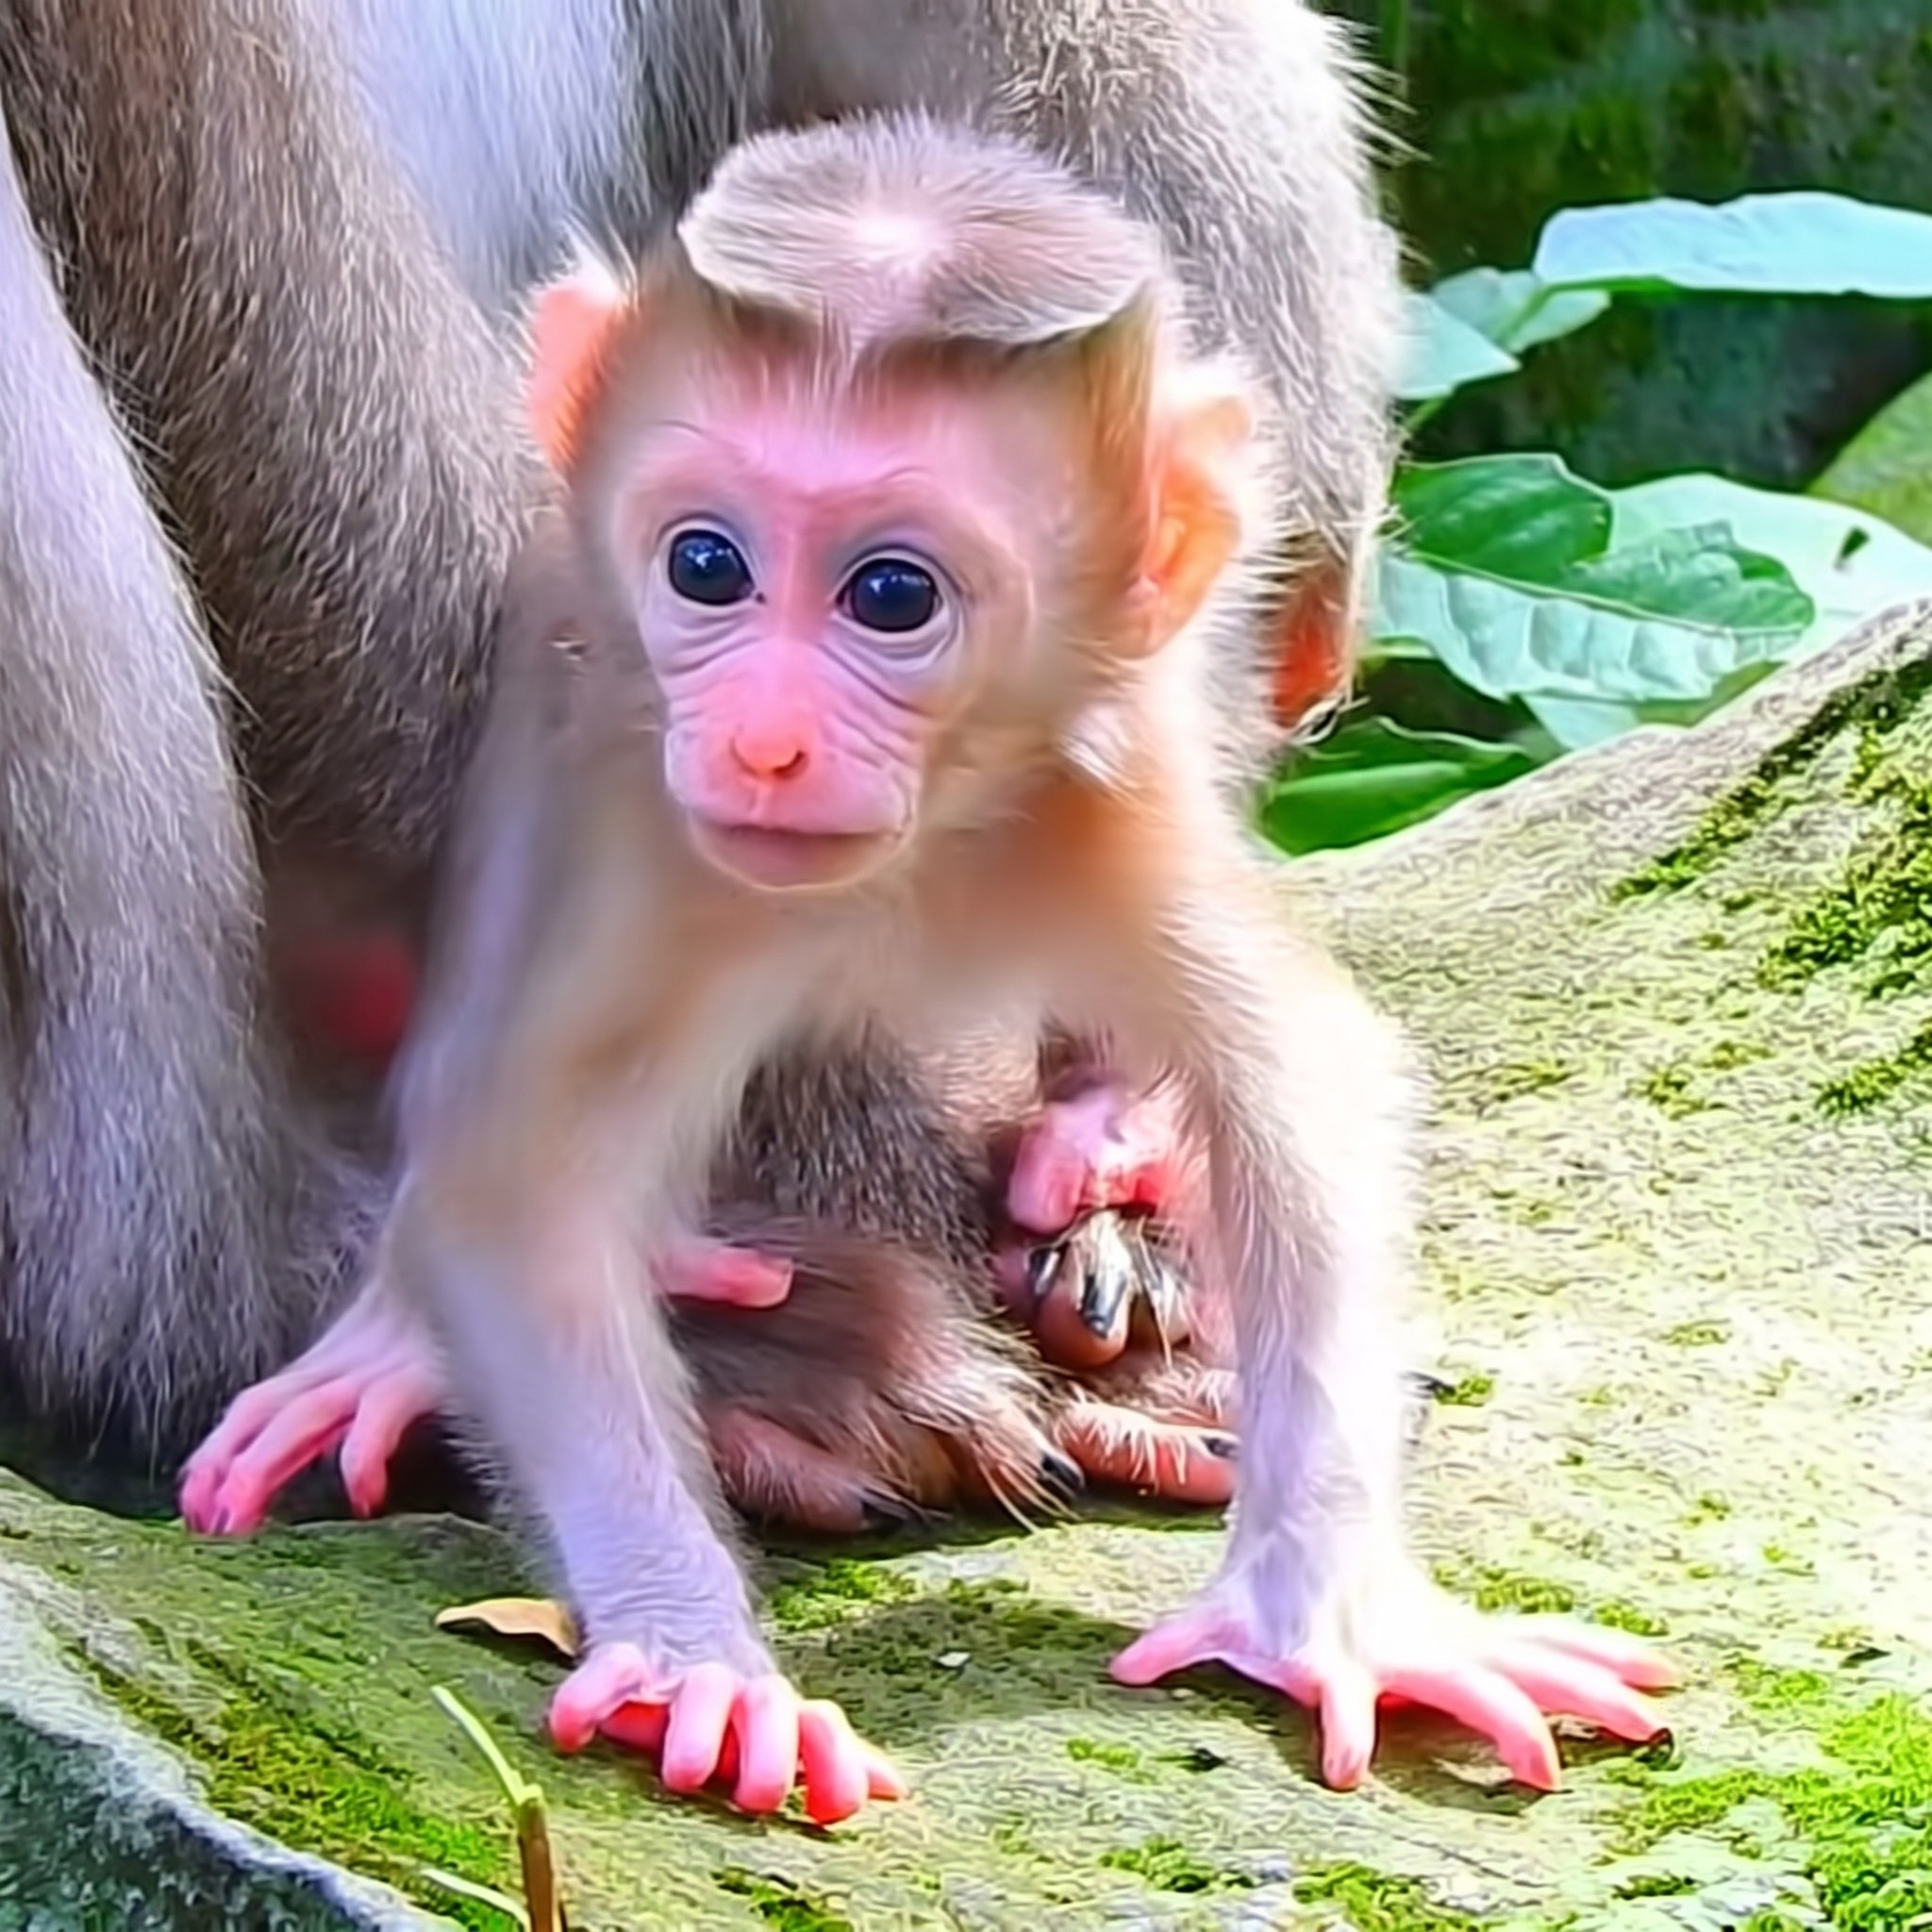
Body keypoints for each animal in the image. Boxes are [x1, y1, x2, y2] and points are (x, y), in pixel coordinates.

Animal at [333, 115, 1676, 1829]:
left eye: (892, 595)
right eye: (705, 564)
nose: (765, 741)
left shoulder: (1098, 800)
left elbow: (1293, 1077)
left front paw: (1336, 1604)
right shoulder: (665, 837)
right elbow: (517, 1185)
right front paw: (696, 1661)